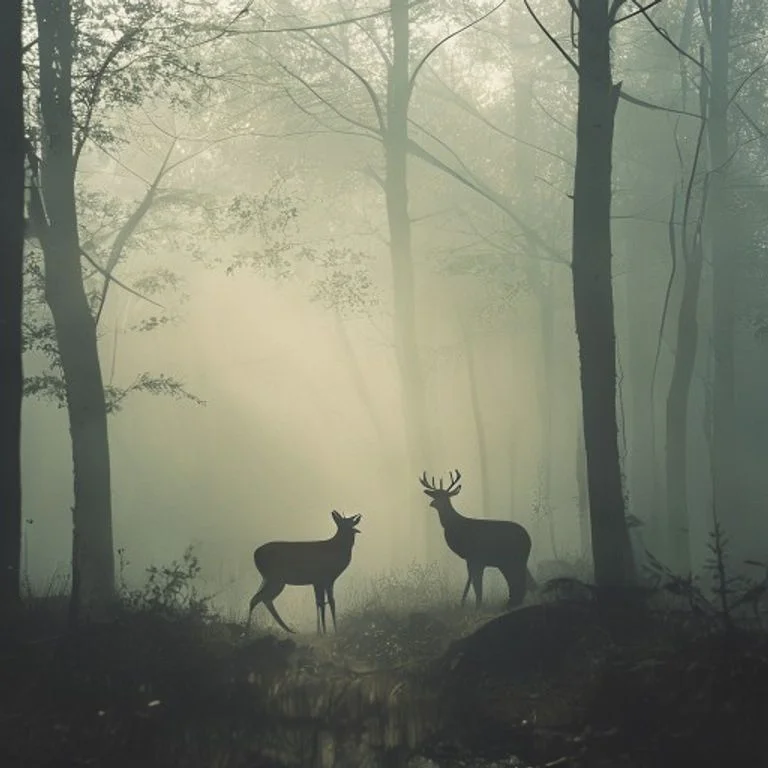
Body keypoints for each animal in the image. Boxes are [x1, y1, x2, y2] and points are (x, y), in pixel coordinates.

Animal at [420, 469, 534, 609]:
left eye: (445, 497)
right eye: (435, 495)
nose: (432, 503)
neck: (457, 527)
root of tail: (529, 539)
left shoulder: (475, 557)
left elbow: (477, 587)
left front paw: (475, 606)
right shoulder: (473, 560)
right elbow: (472, 584)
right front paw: (465, 603)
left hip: (513, 559)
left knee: (520, 583)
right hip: (510, 562)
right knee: (524, 583)